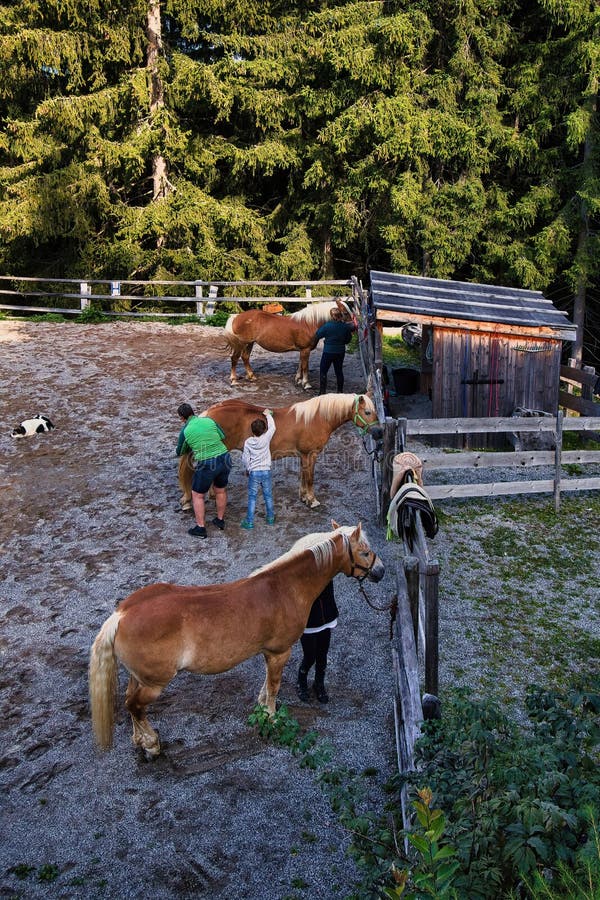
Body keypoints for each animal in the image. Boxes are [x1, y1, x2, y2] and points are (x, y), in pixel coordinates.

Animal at [89, 522, 385, 758]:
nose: (380, 571)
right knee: (134, 706)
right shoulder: (280, 652)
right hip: (154, 684)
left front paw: (262, 707)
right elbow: (274, 686)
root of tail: (122, 614)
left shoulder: (269, 653)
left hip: (138, 678)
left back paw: (139, 740)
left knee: (131, 704)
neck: (285, 587)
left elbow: (266, 684)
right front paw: (271, 718)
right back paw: (151, 744)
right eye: (364, 551)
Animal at [178, 392, 383, 510]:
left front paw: (303, 497)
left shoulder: (303, 456)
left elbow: (303, 476)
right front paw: (312, 500)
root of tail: (209, 413)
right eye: (367, 412)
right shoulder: (311, 454)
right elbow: (310, 477)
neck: (316, 418)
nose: (379, 432)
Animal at [223, 298, 353, 389]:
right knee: (234, 358)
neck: (309, 323)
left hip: (250, 343)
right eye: (345, 313)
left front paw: (298, 380)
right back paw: (234, 380)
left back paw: (251, 377)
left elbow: (300, 364)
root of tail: (237, 317)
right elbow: (305, 366)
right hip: (242, 344)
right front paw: (306, 384)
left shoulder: (302, 350)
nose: (353, 327)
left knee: (245, 357)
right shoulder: (305, 349)